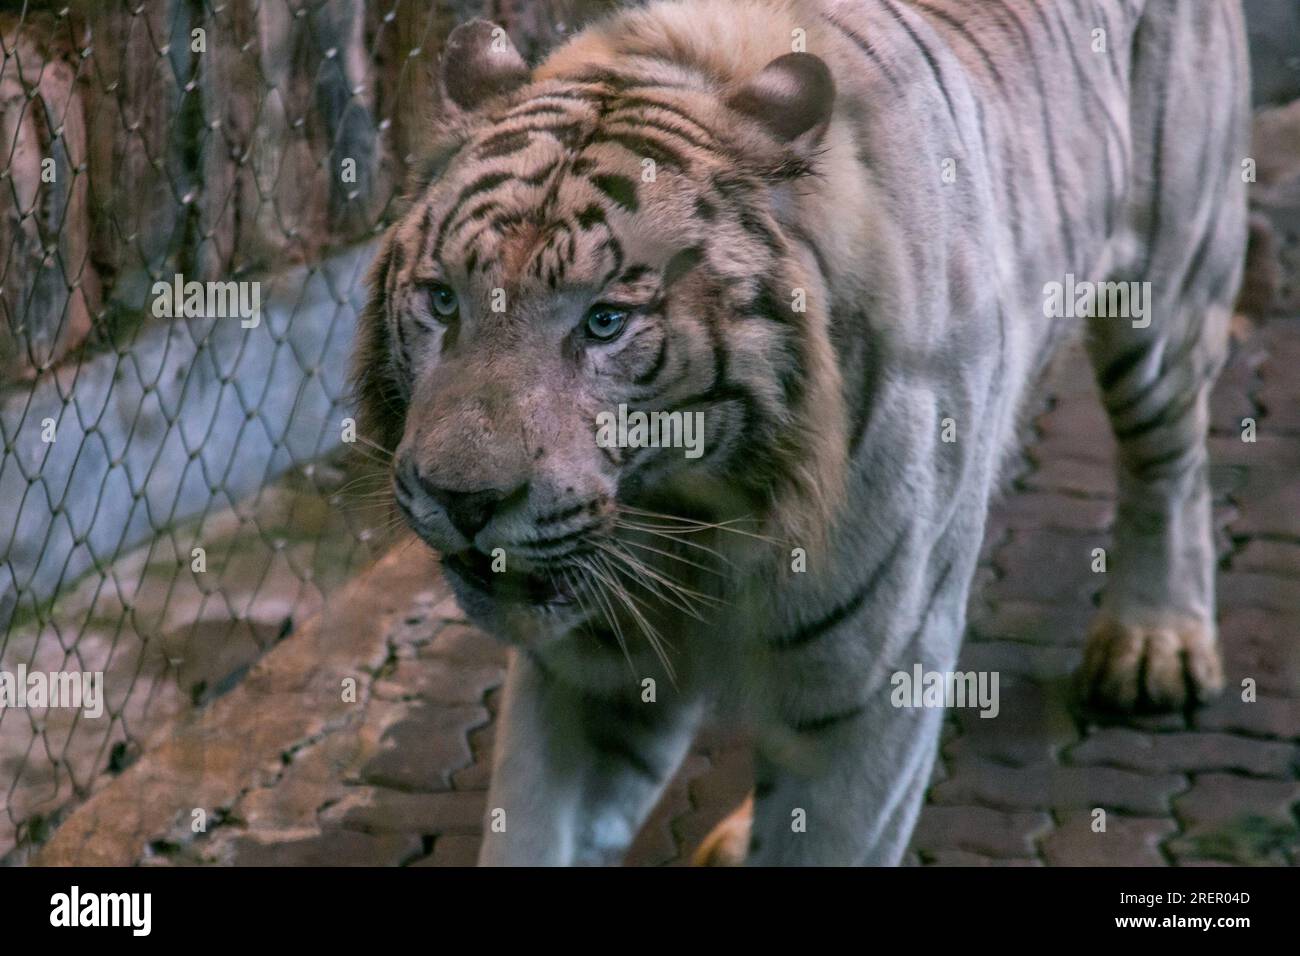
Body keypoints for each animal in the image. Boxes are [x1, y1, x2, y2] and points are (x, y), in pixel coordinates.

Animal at [351, 0, 1249, 865]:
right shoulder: (589, 679)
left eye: (606, 321)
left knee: (1170, 460)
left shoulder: (868, 697)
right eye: (441, 301)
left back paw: (1155, 644)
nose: (461, 501)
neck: (692, 509)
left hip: (1164, 296)